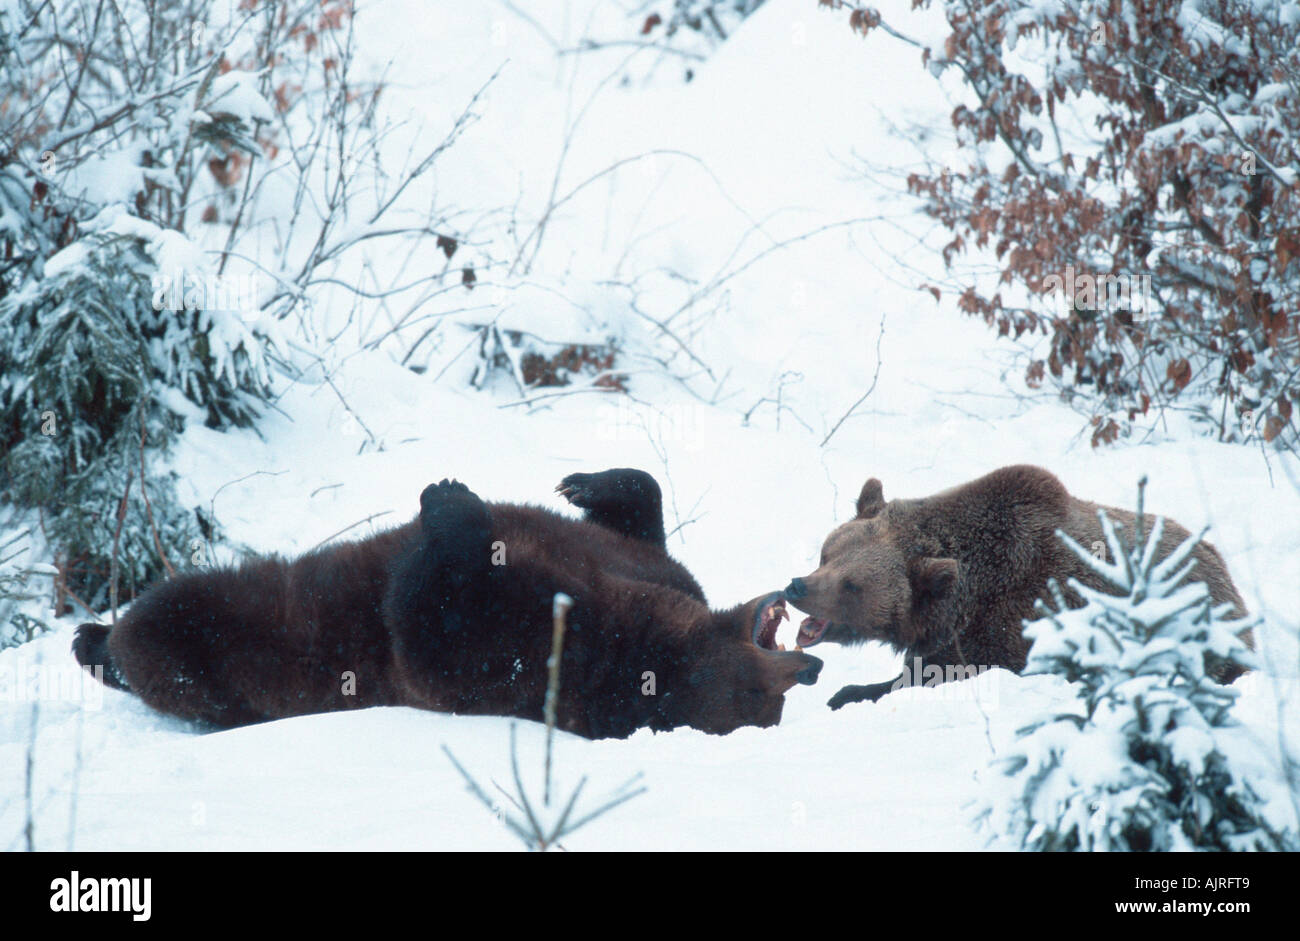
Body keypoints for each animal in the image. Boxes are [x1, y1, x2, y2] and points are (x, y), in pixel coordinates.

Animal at [73, 468, 822, 738]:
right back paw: (91, 634)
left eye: (763, 700)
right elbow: (639, 517)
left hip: (241, 639)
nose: (811, 669)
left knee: (177, 637)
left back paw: (104, 646)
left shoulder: (546, 654)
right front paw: (585, 482)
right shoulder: (641, 570)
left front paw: (449, 499)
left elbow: (430, 623)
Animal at [782, 464, 1253, 710]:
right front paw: (848, 691)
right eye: (828, 552)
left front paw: (848, 694)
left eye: (852, 585)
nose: (797, 587)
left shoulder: (1013, 626)